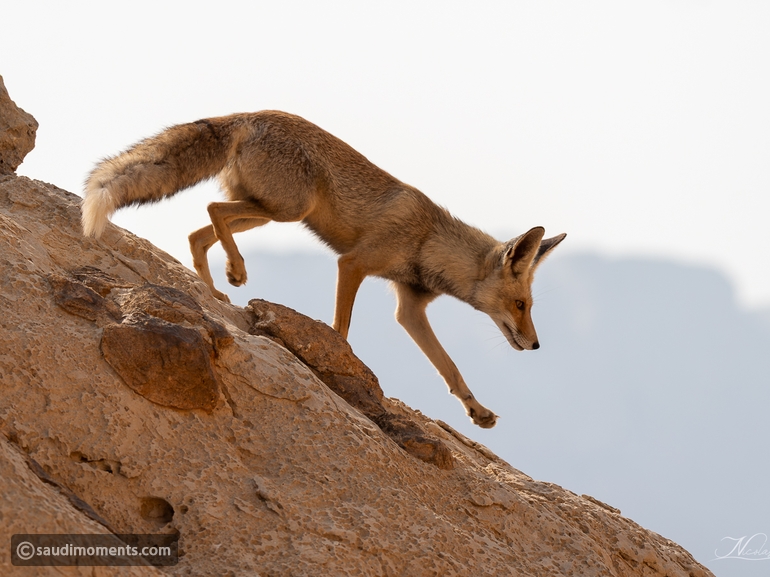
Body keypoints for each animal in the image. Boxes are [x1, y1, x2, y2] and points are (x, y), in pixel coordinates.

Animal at [82, 111, 566, 428]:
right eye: (520, 305)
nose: (537, 345)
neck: (428, 242)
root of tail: (251, 112)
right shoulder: (352, 264)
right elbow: (342, 329)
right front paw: (340, 367)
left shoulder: (410, 308)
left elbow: (450, 368)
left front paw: (476, 410)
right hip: (286, 209)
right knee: (212, 210)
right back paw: (234, 271)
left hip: (267, 212)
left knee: (198, 232)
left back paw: (214, 290)